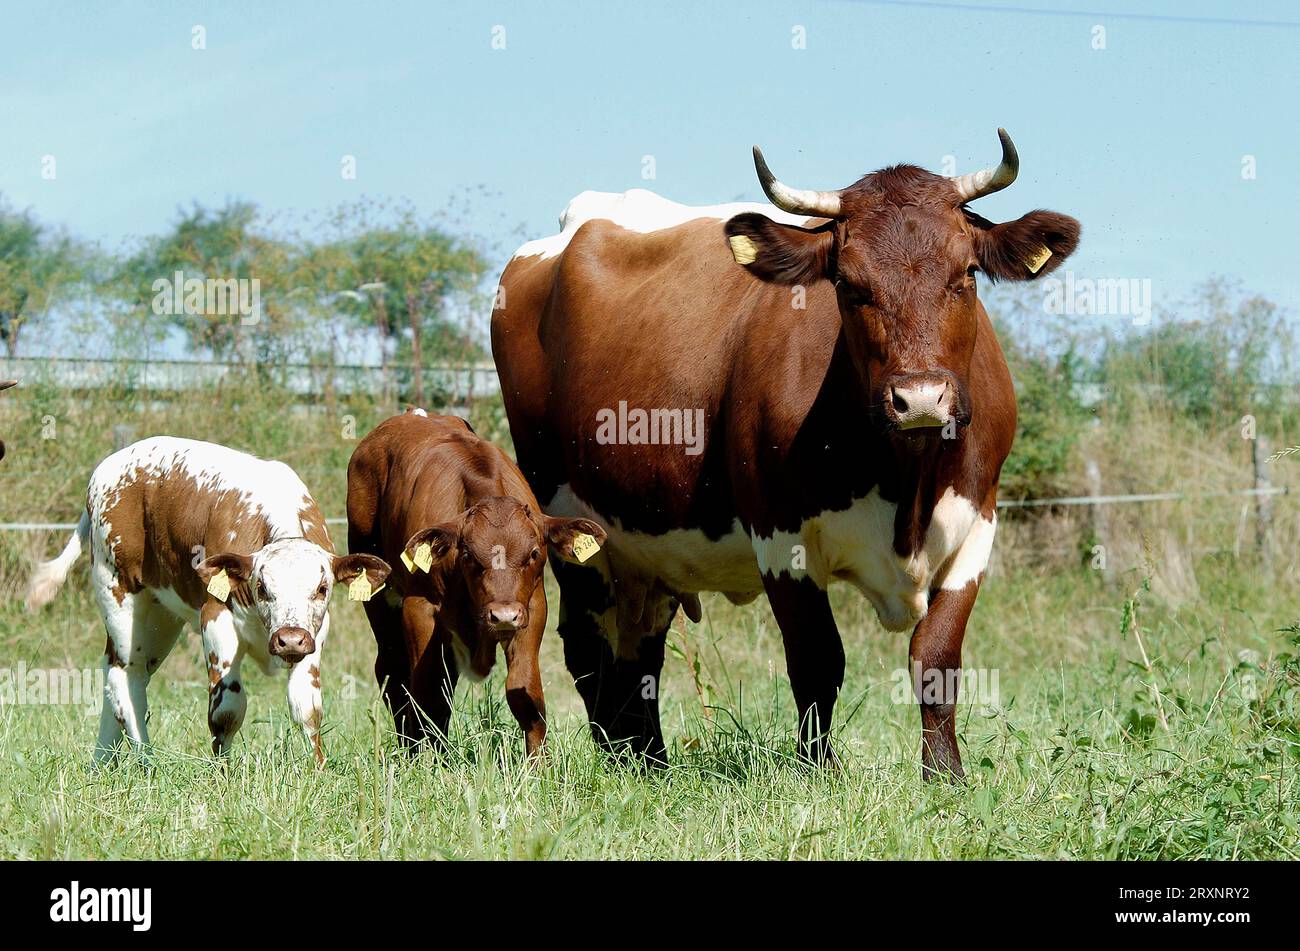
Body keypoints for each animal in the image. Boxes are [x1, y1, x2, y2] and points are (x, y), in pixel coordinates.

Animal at [25, 436, 390, 765]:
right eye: (261, 587)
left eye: (322, 588)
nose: (288, 640)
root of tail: (110, 466)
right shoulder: (216, 618)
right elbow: (227, 709)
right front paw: (222, 772)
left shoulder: (314, 633)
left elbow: (306, 704)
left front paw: (317, 768)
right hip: (118, 594)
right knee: (125, 679)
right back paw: (146, 762)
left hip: (160, 617)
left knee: (119, 673)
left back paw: (103, 760)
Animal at [345, 409, 605, 757]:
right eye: (467, 554)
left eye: (534, 553)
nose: (503, 615)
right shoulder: (420, 607)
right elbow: (427, 692)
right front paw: (425, 759)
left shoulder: (533, 607)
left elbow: (525, 693)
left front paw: (538, 764)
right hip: (378, 594)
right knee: (394, 672)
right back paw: (408, 747)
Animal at [492, 130, 1080, 779]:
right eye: (848, 284)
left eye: (966, 274)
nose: (921, 397)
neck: (908, 482)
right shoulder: (781, 535)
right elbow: (819, 662)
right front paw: (819, 771)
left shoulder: (977, 527)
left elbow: (937, 660)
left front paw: (946, 776)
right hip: (571, 519)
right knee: (588, 647)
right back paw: (625, 763)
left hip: (645, 547)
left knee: (639, 652)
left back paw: (649, 763)